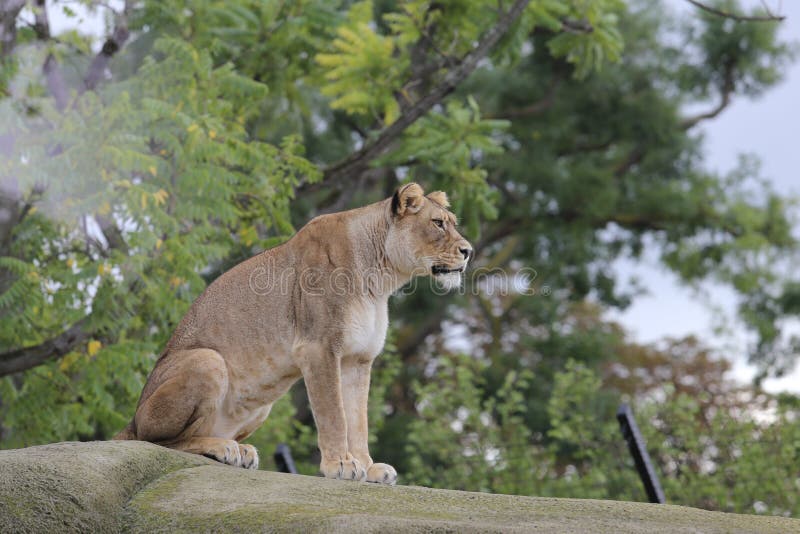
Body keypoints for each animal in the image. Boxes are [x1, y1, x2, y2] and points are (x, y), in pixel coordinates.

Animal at [113, 183, 472, 485]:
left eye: (453, 222)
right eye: (438, 223)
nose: (468, 251)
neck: (380, 278)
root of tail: (131, 421)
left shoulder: (358, 359)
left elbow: (358, 419)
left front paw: (368, 467)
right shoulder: (319, 348)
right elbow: (333, 414)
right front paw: (340, 465)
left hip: (261, 405)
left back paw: (239, 450)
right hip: (205, 362)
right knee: (159, 441)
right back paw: (224, 448)